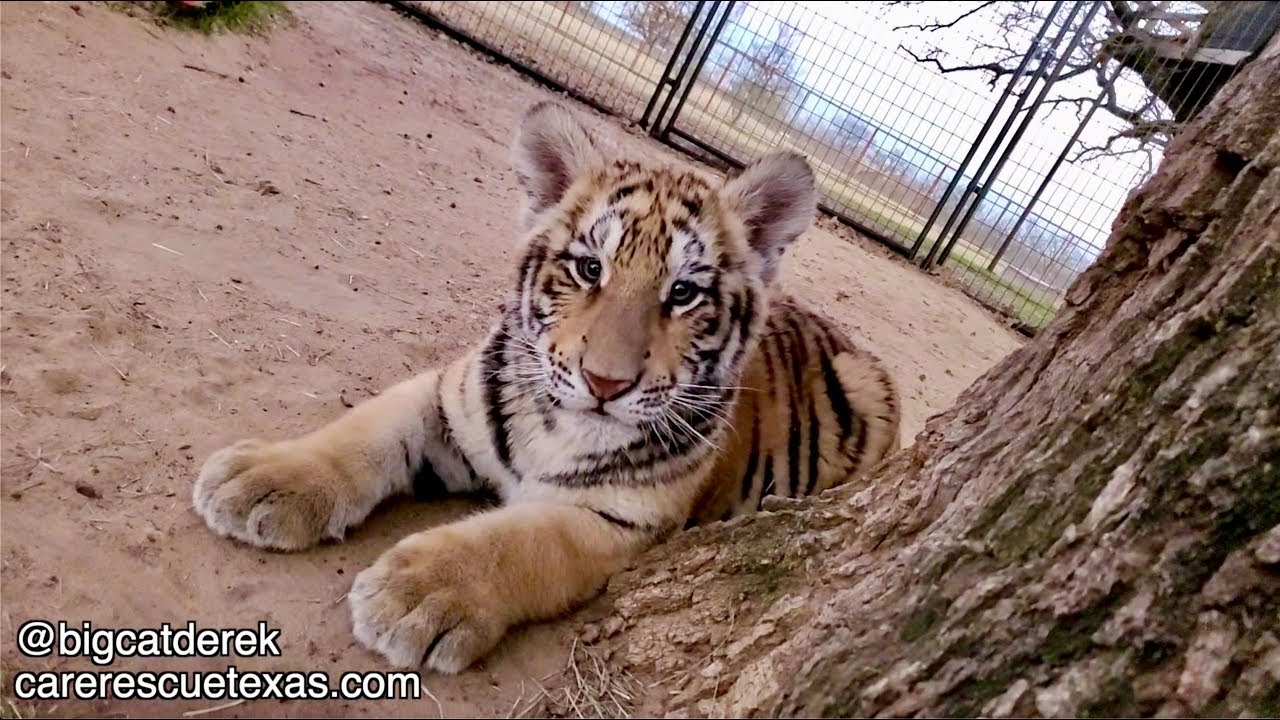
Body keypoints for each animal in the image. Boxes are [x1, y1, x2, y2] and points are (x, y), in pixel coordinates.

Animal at [192, 101, 901, 674]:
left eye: (683, 293)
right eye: (590, 268)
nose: (605, 382)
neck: (556, 425)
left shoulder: (618, 519)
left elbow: (519, 544)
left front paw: (415, 594)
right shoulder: (447, 397)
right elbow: (363, 430)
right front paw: (260, 479)